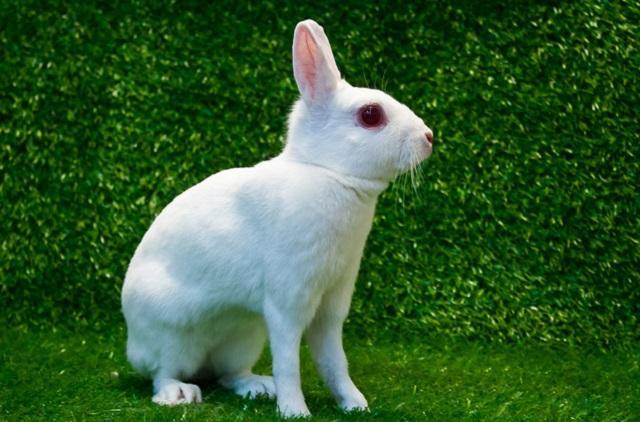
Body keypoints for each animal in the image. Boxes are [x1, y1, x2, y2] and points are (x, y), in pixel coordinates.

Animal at [121, 18, 434, 418]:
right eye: (370, 115)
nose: (428, 137)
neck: (326, 172)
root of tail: (134, 347)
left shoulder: (332, 302)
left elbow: (334, 360)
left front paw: (354, 405)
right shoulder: (288, 300)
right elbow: (289, 362)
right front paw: (295, 411)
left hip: (242, 338)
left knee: (229, 373)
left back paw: (258, 386)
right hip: (172, 337)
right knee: (163, 372)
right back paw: (180, 393)